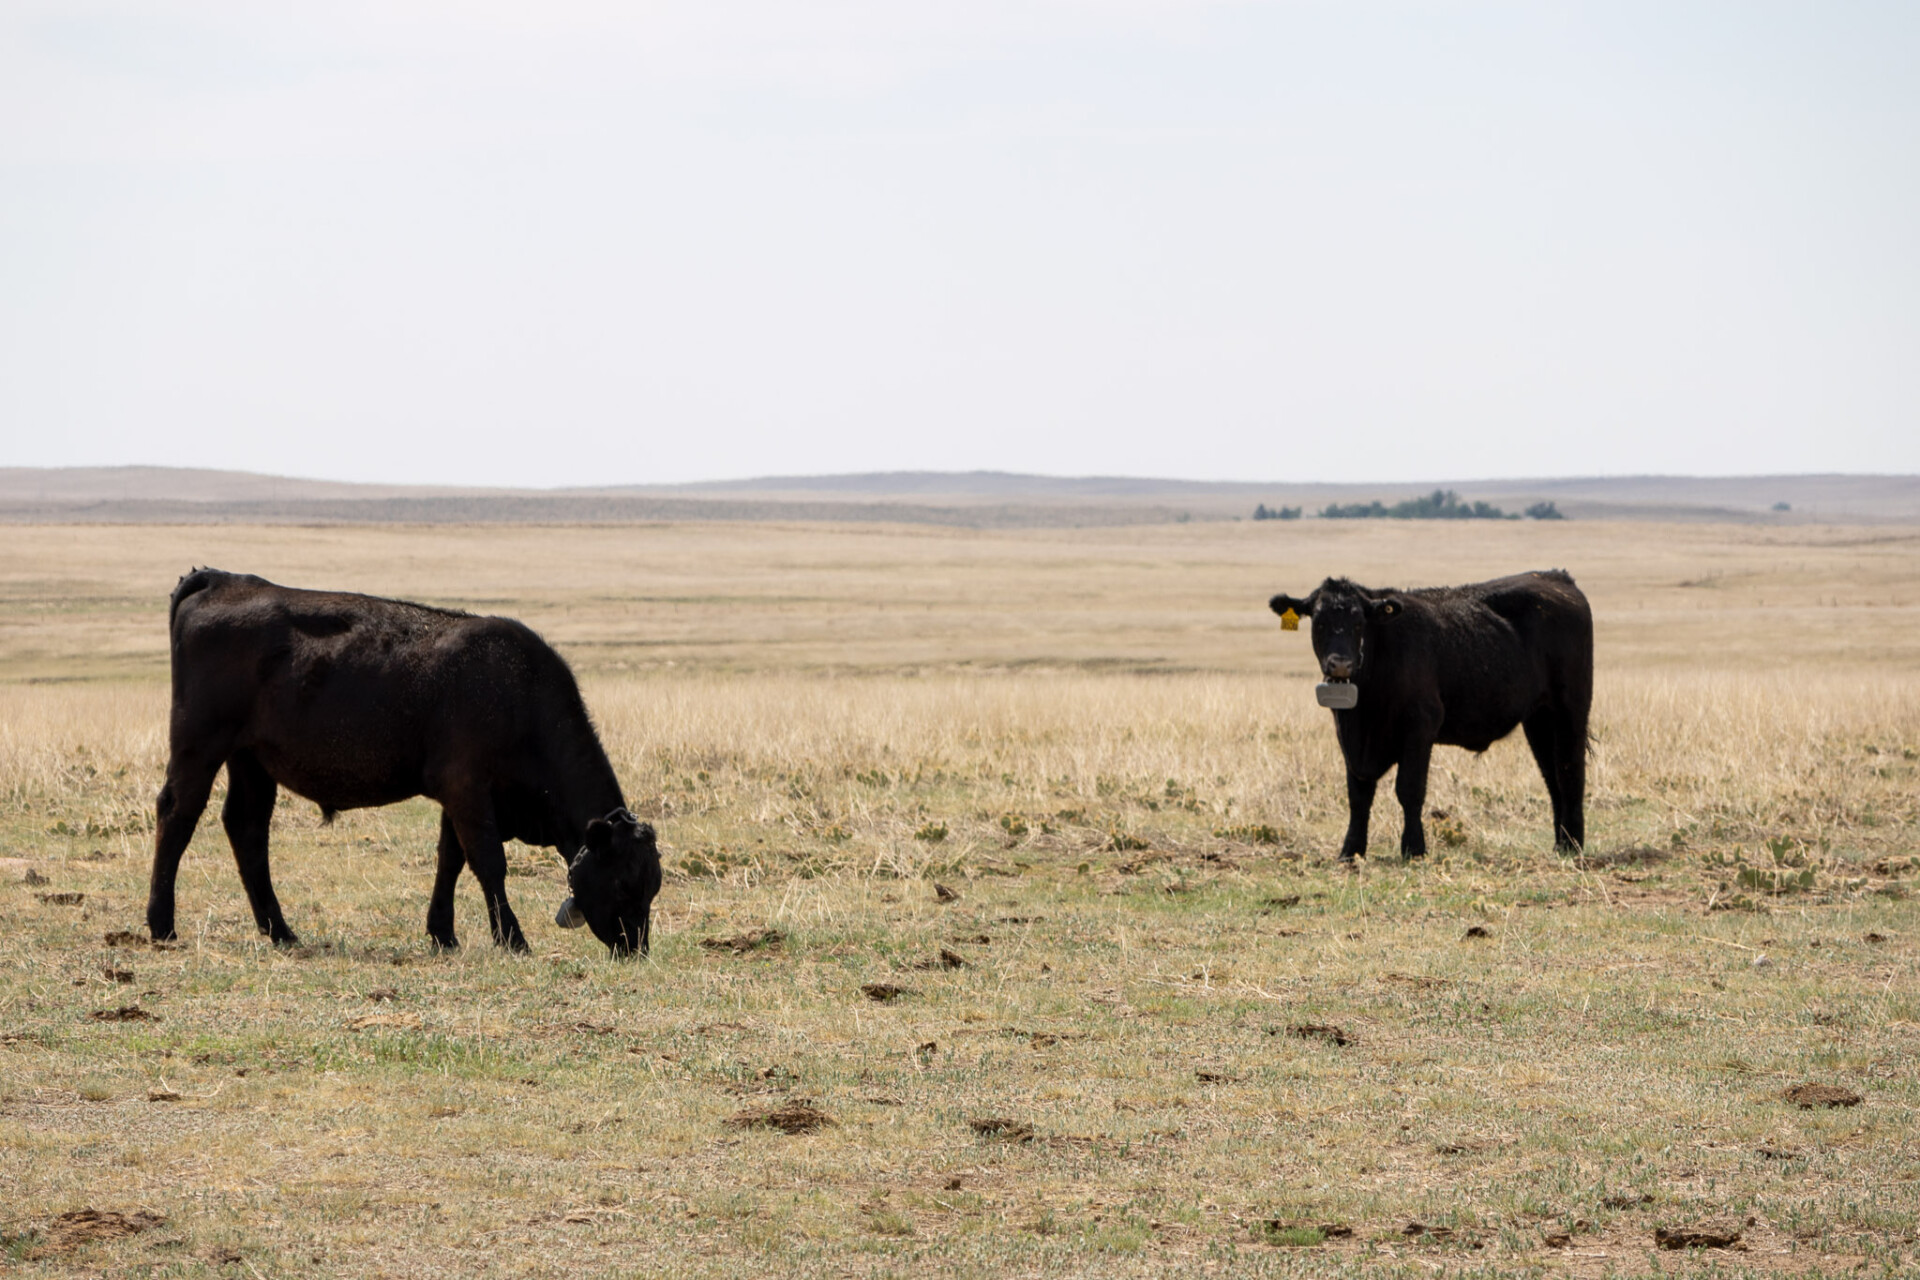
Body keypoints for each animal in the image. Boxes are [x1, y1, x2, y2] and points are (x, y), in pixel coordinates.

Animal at [146, 569, 661, 957]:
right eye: (624, 883)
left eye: (652, 885)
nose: (635, 948)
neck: (519, 695)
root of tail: (223, 579)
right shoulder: (468, 788)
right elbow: (488, 862)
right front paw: (513, 939)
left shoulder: (458, 796)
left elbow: (450, 861)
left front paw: (443, 934)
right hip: (200, 744)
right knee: (178, 813)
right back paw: (161, 923)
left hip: (252, 760)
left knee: (247, 829)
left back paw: (281, 931)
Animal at [1267, 570, 1592, 862]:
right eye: (1319, 622)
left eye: (1359, 622)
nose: (1340, 664)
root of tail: (1556, 577)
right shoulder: (1349, 735)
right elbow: (1358, 794)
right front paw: (1350, 851)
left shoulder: (1420, 725)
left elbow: (1409, 789)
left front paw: (1413, 848)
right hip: (1538, 719)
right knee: (1551, 776)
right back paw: (1559, 842)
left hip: (1570, 709)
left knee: (1569, 771)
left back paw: (1572, 845)